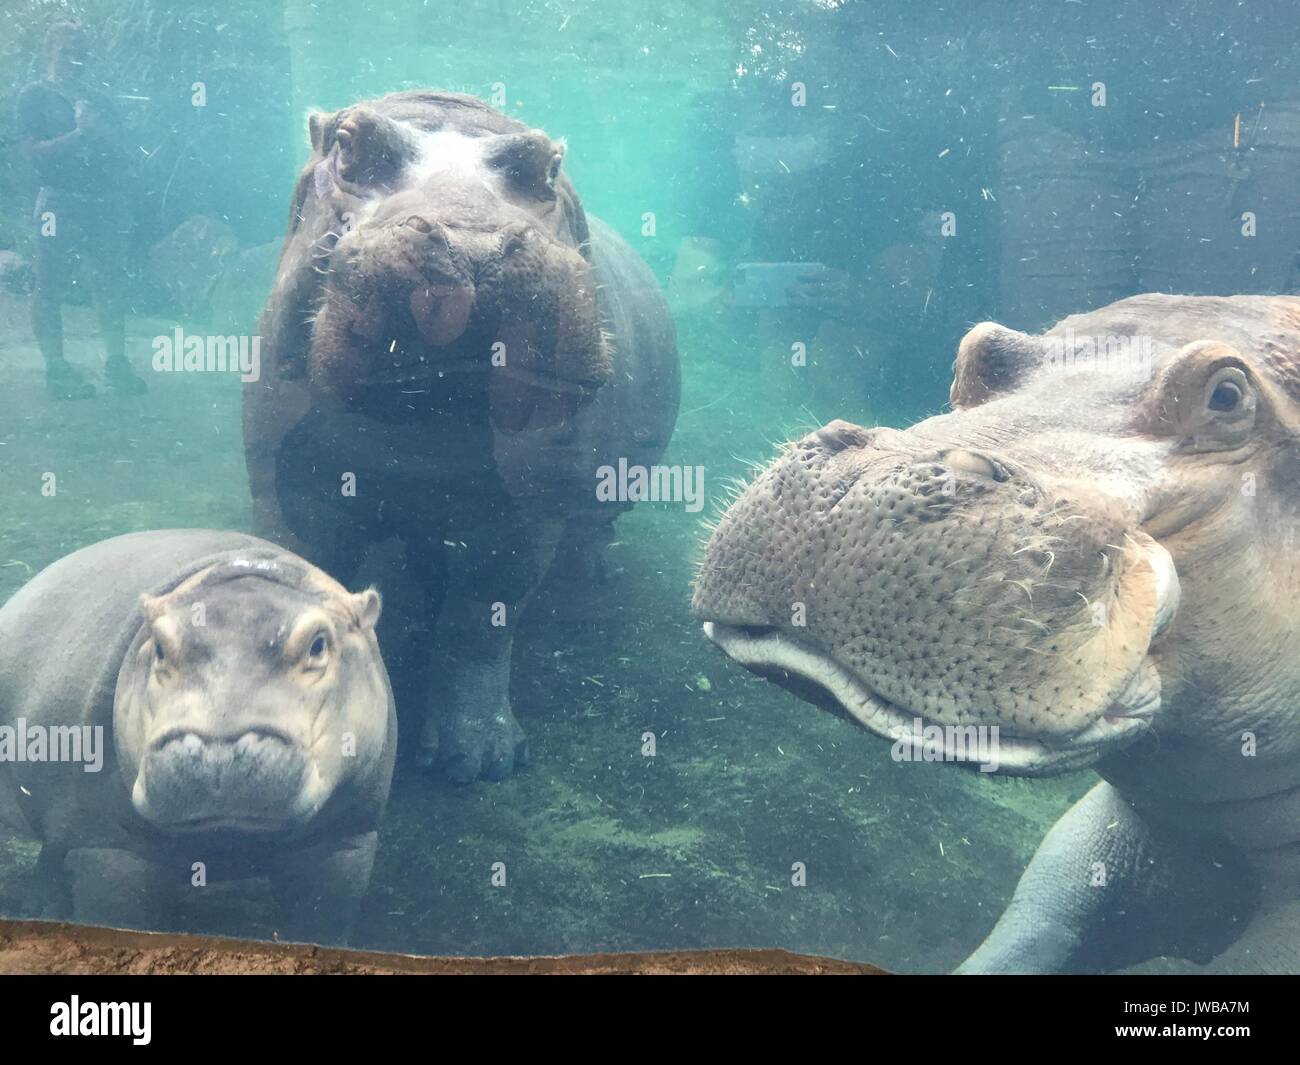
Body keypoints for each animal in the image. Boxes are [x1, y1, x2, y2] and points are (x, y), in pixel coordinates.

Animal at [0, 530, 396, 944]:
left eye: (318, 643)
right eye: (159, 646)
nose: (216, 752)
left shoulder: (346, 839)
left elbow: (320, 923)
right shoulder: (105, 845)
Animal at [244, 91, 679, 783]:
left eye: (546, 163)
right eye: (347, 142)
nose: (473, 245)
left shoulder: (527, 508)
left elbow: (479, 619)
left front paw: (474, 762)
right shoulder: (289, 487)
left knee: (591, 527)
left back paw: (593, 569)